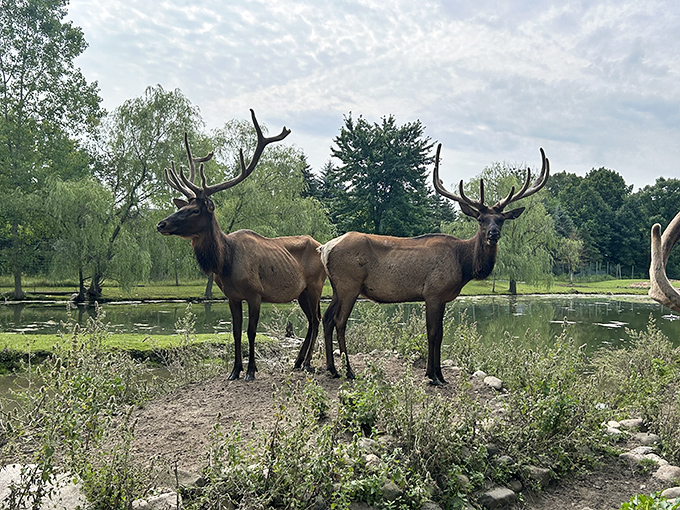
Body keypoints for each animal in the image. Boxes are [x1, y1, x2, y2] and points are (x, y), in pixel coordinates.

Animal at [156, 110, 326, 381]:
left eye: (194, 210)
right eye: (181, 207)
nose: (161, 224)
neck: (224, 263)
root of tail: (323, 246)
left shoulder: (255, 293)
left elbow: (251, 331)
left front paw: (251, 371)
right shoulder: (231, 296)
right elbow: (235, 331)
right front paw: (234, 370)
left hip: (315, 285)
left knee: (317, 319)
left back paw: (308, 362)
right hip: (300, 292)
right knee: (311, 320)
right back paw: (298, 362)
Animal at [319, 144, 549, 385]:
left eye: (501, 219)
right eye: (481, 220)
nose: (493, 234)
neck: (464, 265)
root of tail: (325, 248)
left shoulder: (443, 297)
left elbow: (441, 334)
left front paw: (439, 375)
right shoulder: (433, 292)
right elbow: (433, 333)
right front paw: (432, 375)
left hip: (337, 287)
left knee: (326, 318)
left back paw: (332, 369)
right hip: (349, 284)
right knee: (339, 321)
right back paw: (349, 371)